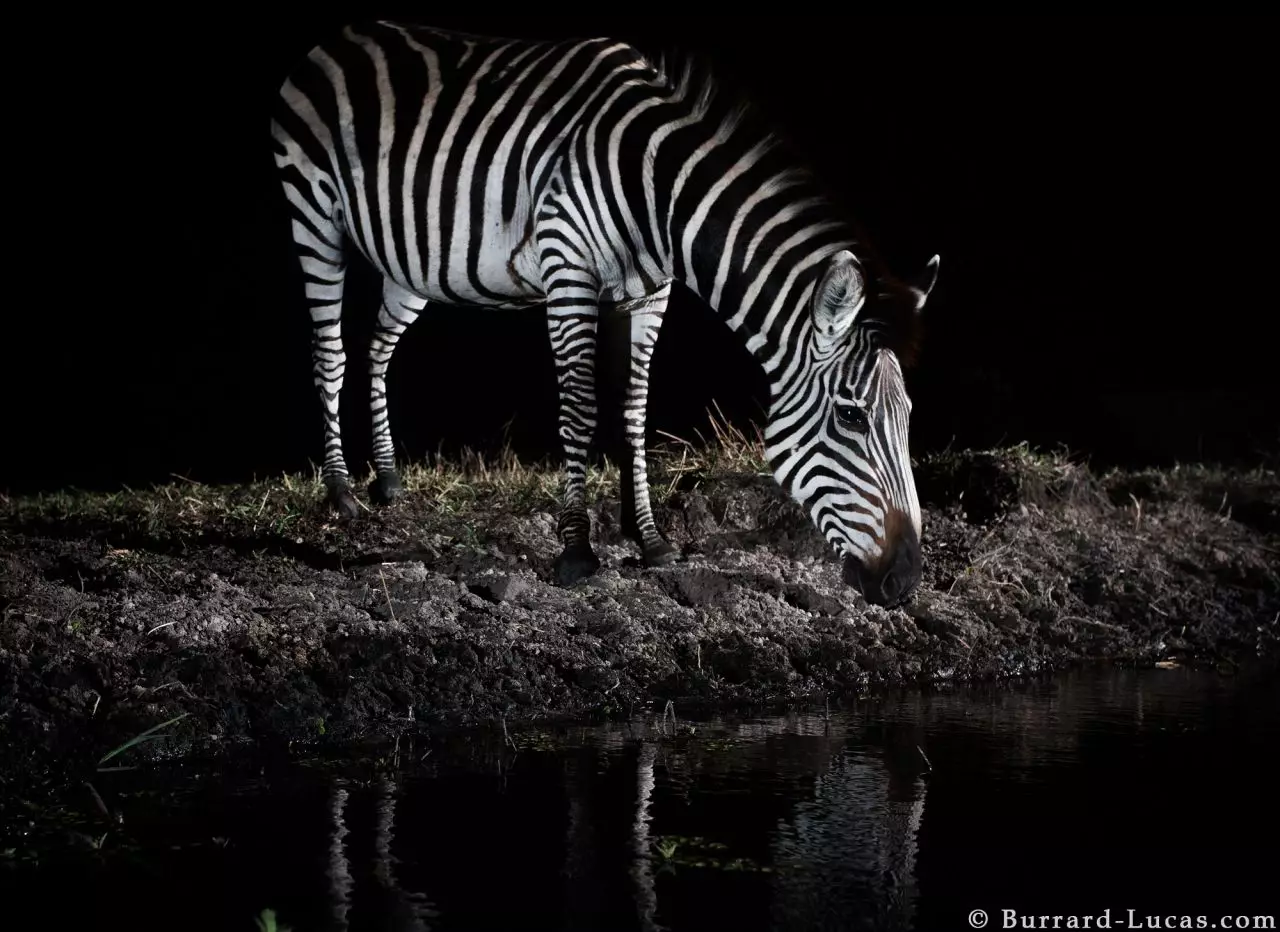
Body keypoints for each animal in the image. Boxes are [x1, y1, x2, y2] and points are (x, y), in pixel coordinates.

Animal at [270, 21, 936, 606]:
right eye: (850, 416)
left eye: (907, 415)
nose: (904, 582)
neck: (658, 197)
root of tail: (343, 36)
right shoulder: (567, 270)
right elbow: (581, 410)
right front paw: (577, 549)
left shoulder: (651, 294)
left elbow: (634, 411)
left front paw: (649, 538)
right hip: (314, 218)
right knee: (330, 351)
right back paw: (342, 492)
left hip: (415, 257)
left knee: (379, 344)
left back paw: (386, 478)